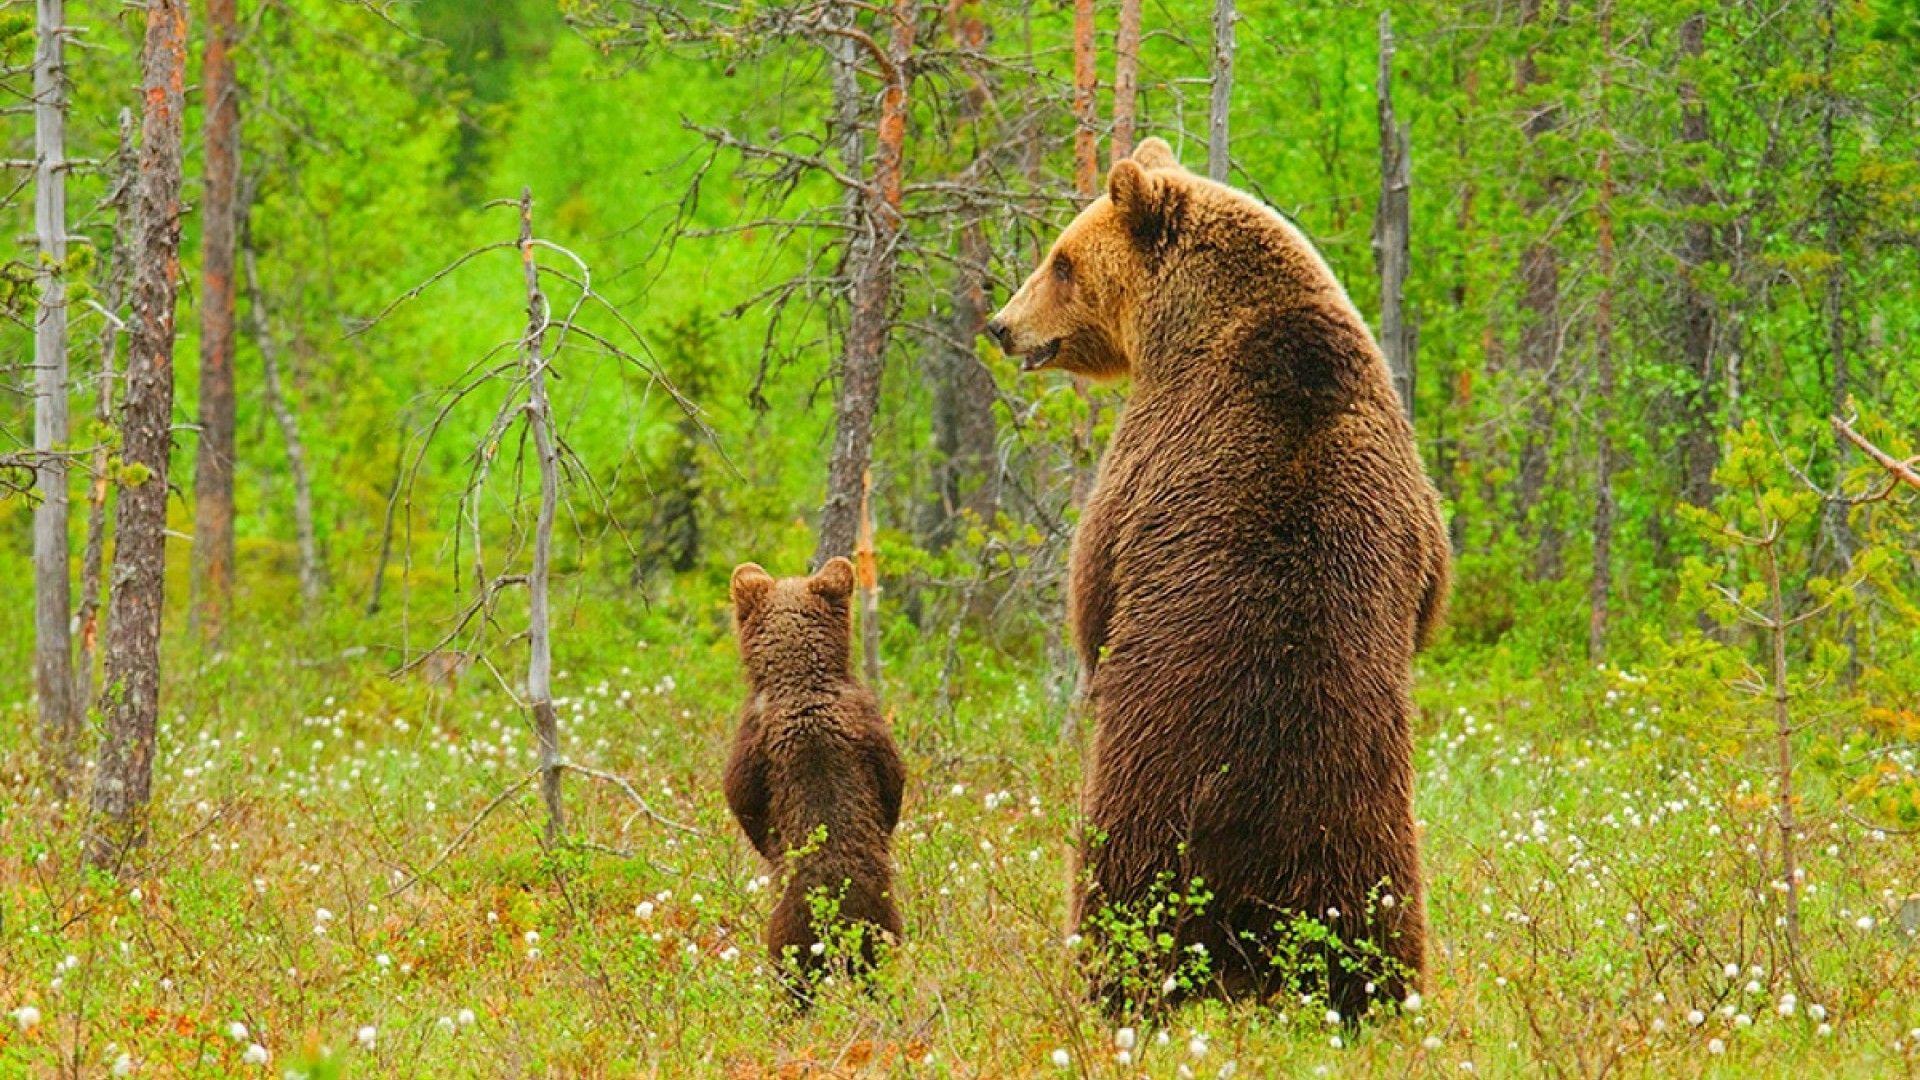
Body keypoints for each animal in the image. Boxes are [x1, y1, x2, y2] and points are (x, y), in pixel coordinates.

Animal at [723, 557, 907, 1002]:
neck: (800, 681)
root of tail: (837, 920)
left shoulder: (752, 741)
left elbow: (742, 799)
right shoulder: (872, 727)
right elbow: (893, 781)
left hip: (790, 931)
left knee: (794, 978)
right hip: (881, 927)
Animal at [984, 137, 1450, 1018]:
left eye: (1061, 261)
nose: (999, 325)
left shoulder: (1150, 450)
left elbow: (1094, 580)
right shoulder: (1406, 478)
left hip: (1148, 805)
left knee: (1122, 901)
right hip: (1366, 829)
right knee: (1377, 923)